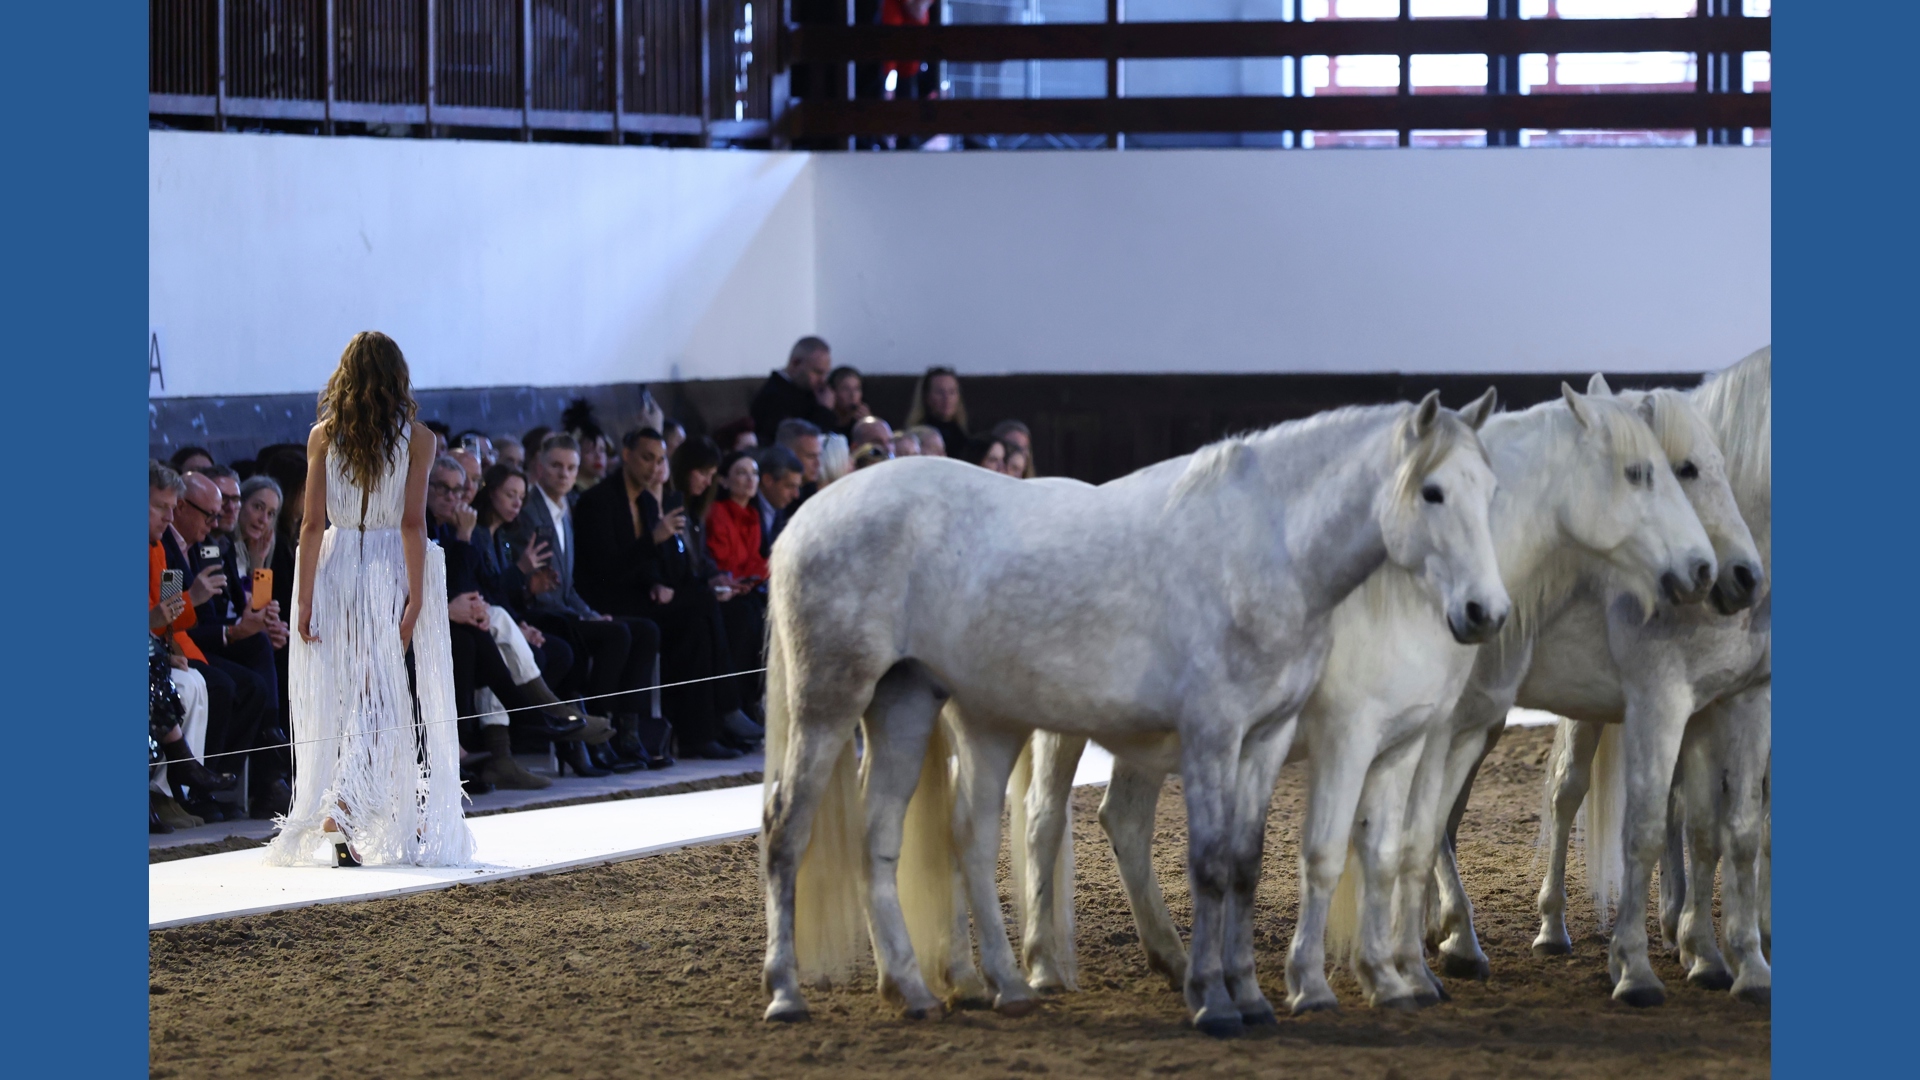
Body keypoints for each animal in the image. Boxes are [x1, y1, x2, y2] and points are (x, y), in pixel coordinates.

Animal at [759, 392, 1511, 1037]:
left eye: (1490, 492)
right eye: (1432, 492)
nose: (1485, 612)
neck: (1264, 552)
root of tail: (806, 517)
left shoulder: (1266, 741)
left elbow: (1248, 863)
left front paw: (1252, 996)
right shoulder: (1220, 736)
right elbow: (1212, 865)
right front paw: (1214, 1001)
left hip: (915, 703)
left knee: (901, 837)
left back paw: (940, 989)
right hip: (832, 702)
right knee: (787, 828)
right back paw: (788, 993)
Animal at [1011, 382, 1722, 1013]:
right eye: (1641, 472)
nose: (1705, 572)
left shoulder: (1437, 736)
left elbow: (1405, 846)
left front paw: (1409, 970)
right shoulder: (1370, 734)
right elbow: (1382, 846)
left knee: (1123, 820)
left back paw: (1173, 958)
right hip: (1069, 726)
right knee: (1045, 820)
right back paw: (1042, 966)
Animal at [1428, 349, 1770, 1008]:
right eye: (1683, 469)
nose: (1743, 577)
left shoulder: (1734, 702)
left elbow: (1729, 829)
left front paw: (1735, 962)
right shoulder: (1664, 701)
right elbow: (1650, 827)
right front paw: (1638, 968)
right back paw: (1477, 940)